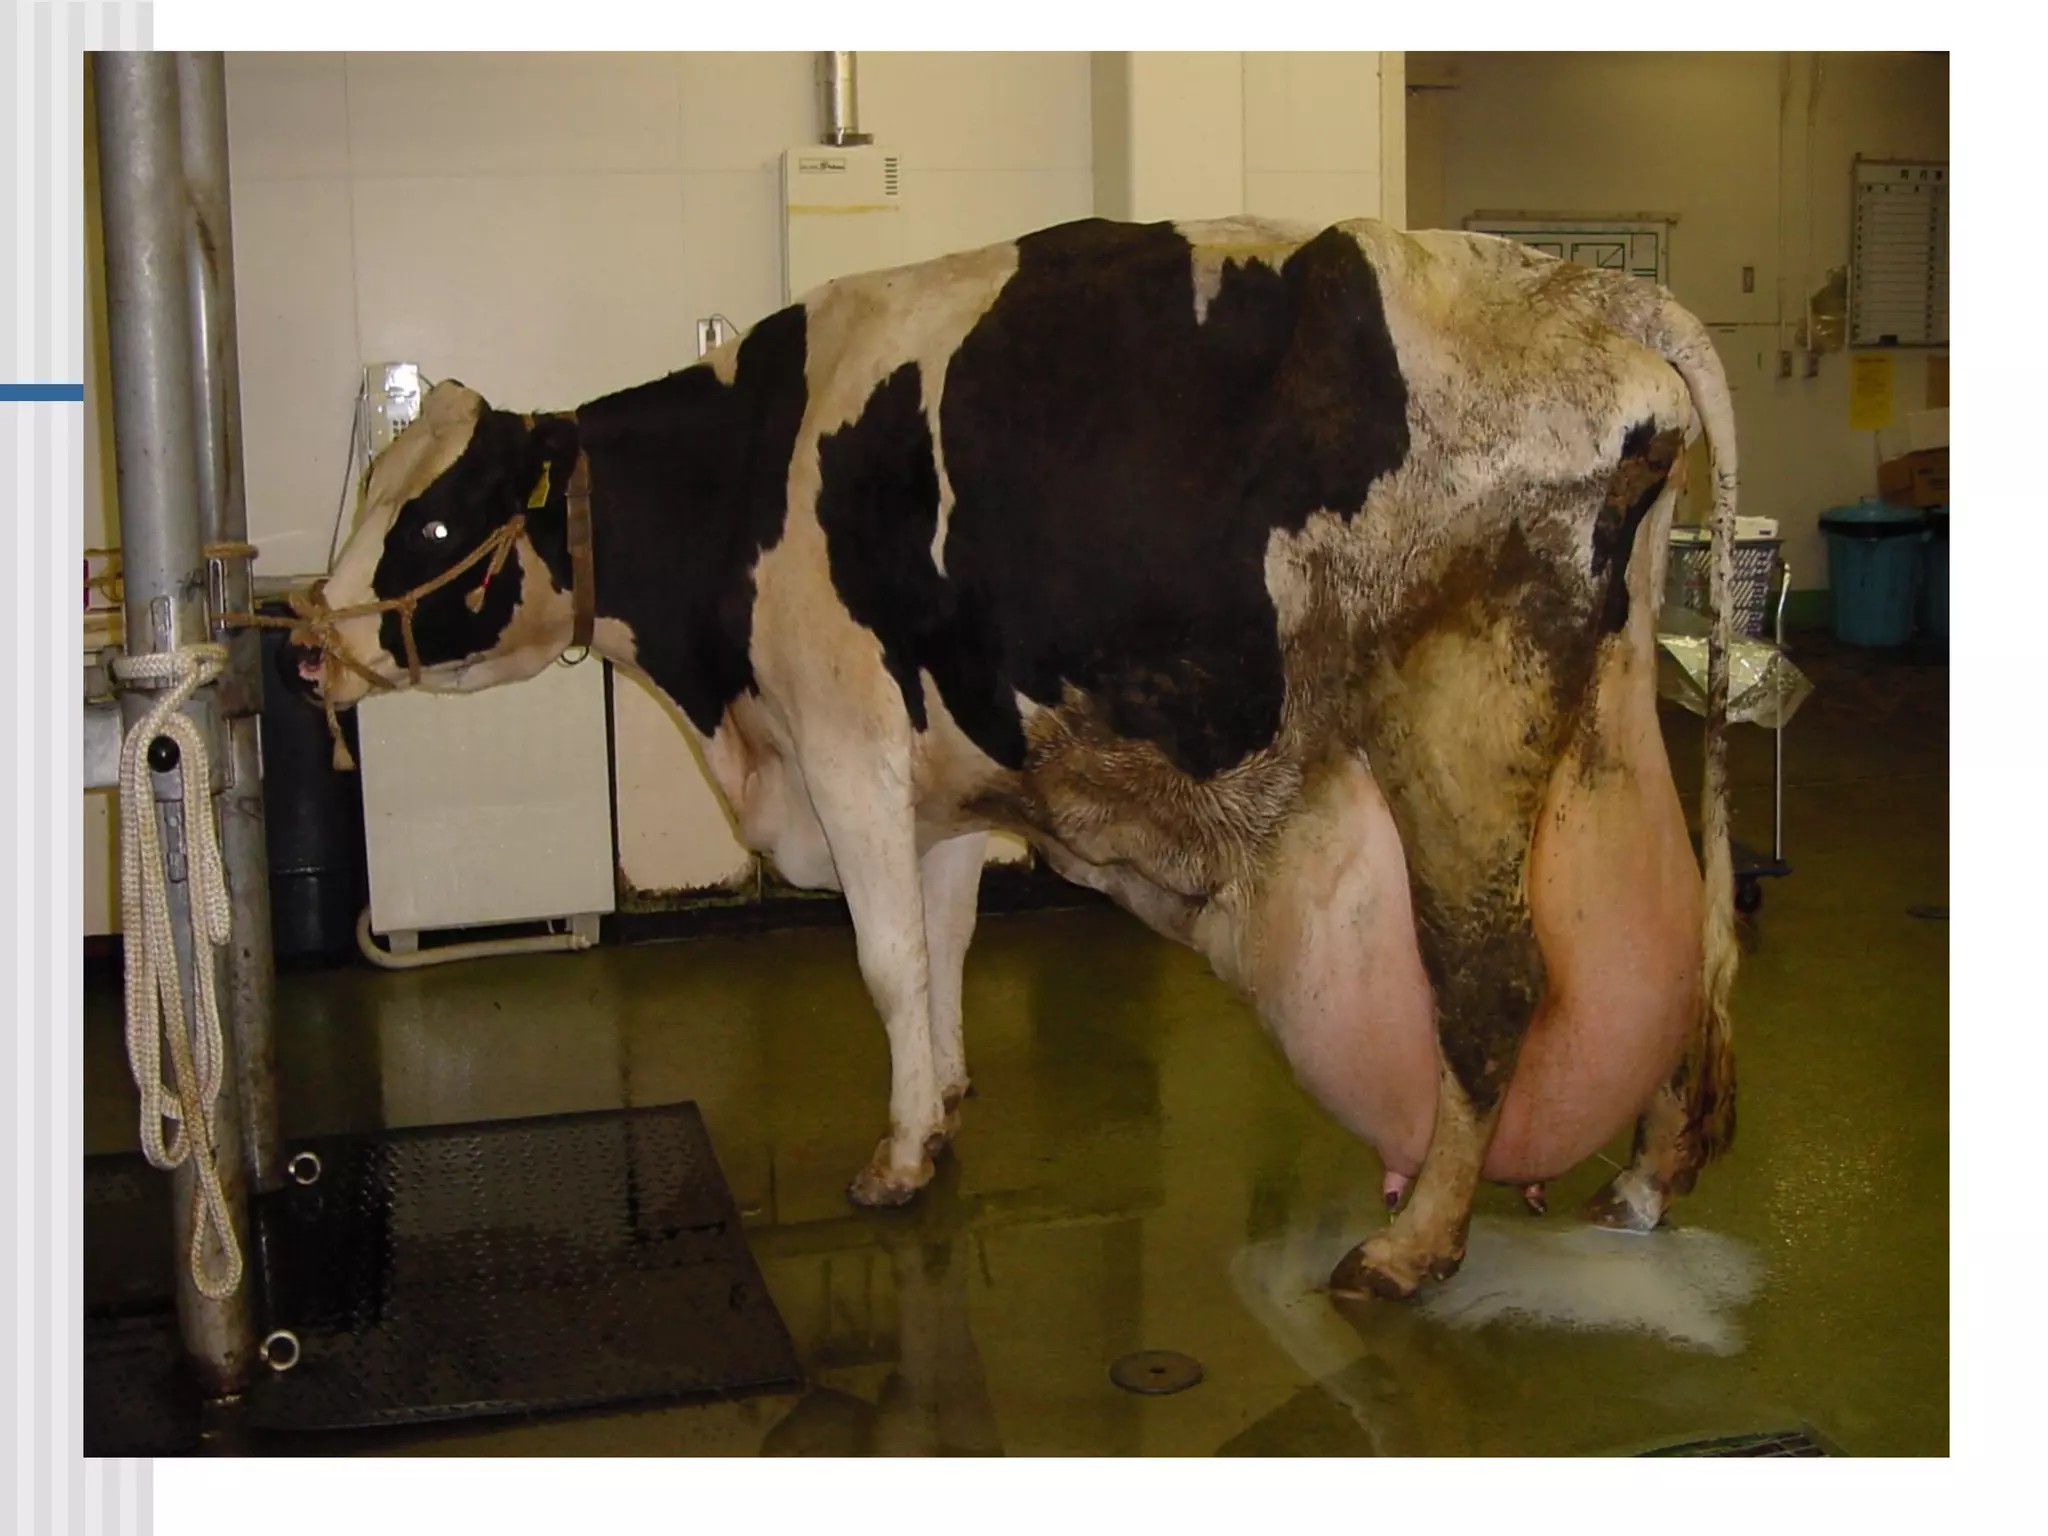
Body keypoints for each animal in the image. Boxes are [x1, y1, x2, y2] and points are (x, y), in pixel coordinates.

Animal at [283, 215, 1740, 1302]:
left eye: (430, 527)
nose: (307, 642)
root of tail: (1579, 282)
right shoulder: (934, 788)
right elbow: (939, 949)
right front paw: (938, 1111)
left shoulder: (850, 751)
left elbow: (884, 961)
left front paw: (891, 1158)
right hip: (1608, 720)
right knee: (1693, 945)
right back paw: (1652, 1171)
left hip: (1460, 716)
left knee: (1492, 986)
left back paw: (1411, 1248)